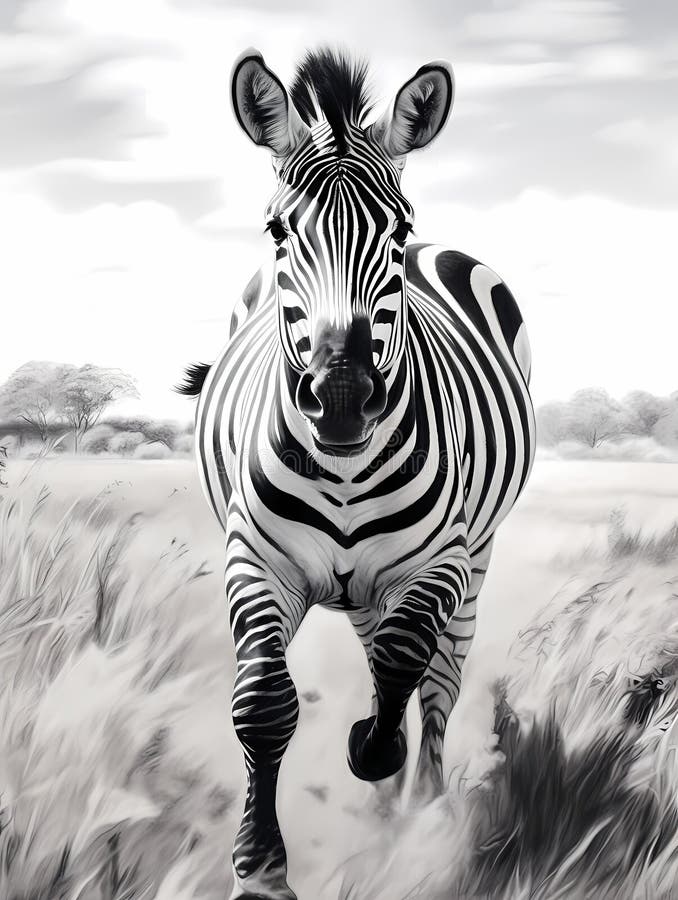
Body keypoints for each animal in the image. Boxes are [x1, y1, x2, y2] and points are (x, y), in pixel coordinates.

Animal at [179, 47, 536, 900]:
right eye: (278, 230)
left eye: (398, 229)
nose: (341, 397)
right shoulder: (256, 560)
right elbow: (263, 703)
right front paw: (260, 869)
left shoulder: (441, 561)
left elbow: (407, 667)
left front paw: (377, 760)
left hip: (471, 559)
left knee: (436, 677)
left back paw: (421, 803)